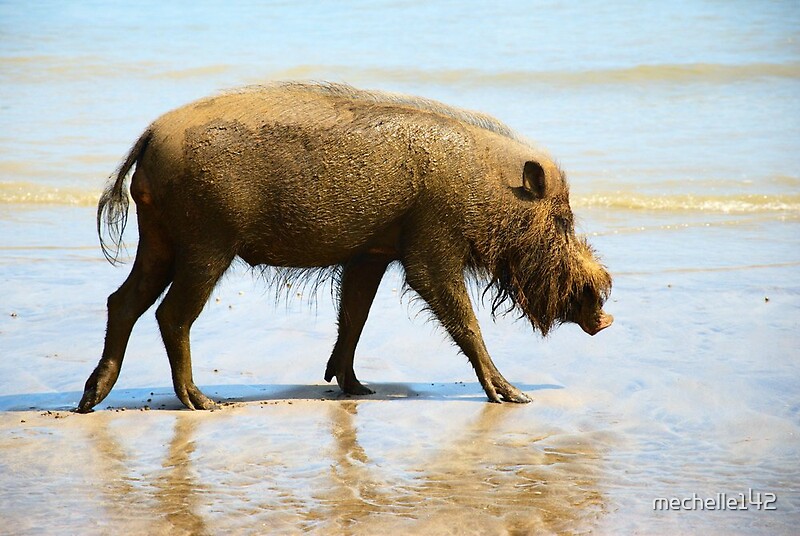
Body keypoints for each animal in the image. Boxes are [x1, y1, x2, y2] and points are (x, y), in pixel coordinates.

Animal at [76, 82, 612, 413]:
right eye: (561, 219)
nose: (604, 314)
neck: (484, 187)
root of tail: (149, 136)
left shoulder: (371, 254)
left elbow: (355, 314)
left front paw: (356, 388)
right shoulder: (430, 246)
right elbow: (464, 320)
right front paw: (515, 397)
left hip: (160, 239)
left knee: (121, 301)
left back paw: (89, 401)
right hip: (206, 243)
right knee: (171, 314)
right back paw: (203, 402)